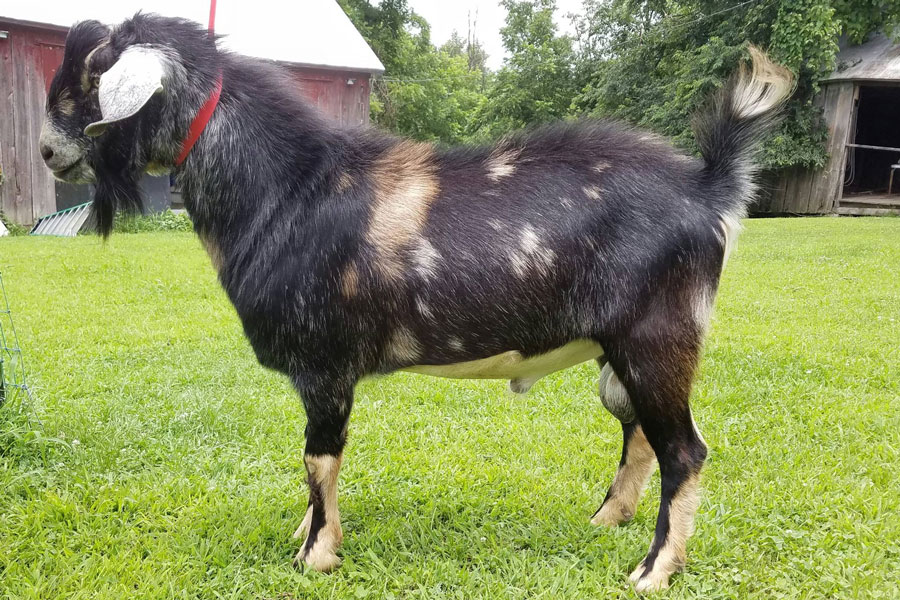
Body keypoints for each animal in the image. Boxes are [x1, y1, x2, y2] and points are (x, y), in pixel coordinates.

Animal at [39, 14, 793, 591]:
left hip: (657, 339)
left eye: (88, 85)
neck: (290, 190)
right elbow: (317, 467)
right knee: (638, 434)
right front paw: (310, 529)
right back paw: (607, 521)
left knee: (685, 451)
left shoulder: (325, 365)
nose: (47, 151)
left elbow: (319, 458)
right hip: (622, 354)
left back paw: (653, 569)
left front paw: (315, 554)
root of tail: (709, 188)